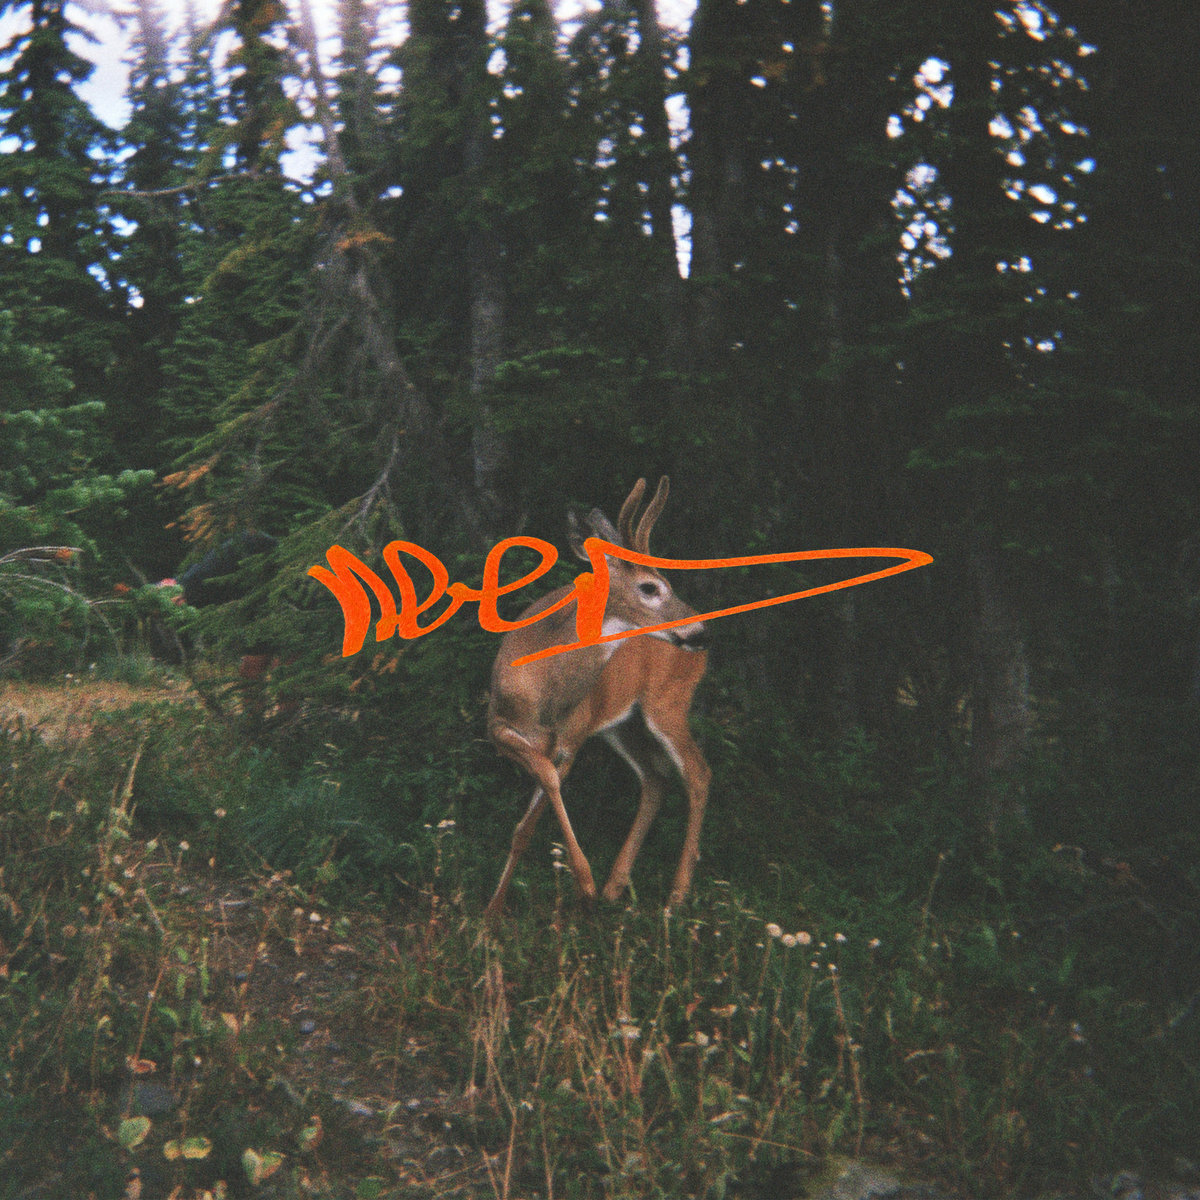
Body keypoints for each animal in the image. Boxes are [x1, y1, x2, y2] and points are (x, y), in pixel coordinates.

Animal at [484, 477, 711, 923]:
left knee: (697, 773)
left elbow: (546, 790)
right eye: (650, 586)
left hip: (667, 703)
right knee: (656, 780)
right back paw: (614, 887)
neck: (543, 693)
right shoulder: (498, 726)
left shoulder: (571, 737)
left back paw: (675, 896)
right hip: (623, 725)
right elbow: (531, 813)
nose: (701, 631)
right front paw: (493, 911)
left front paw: (584, 887)